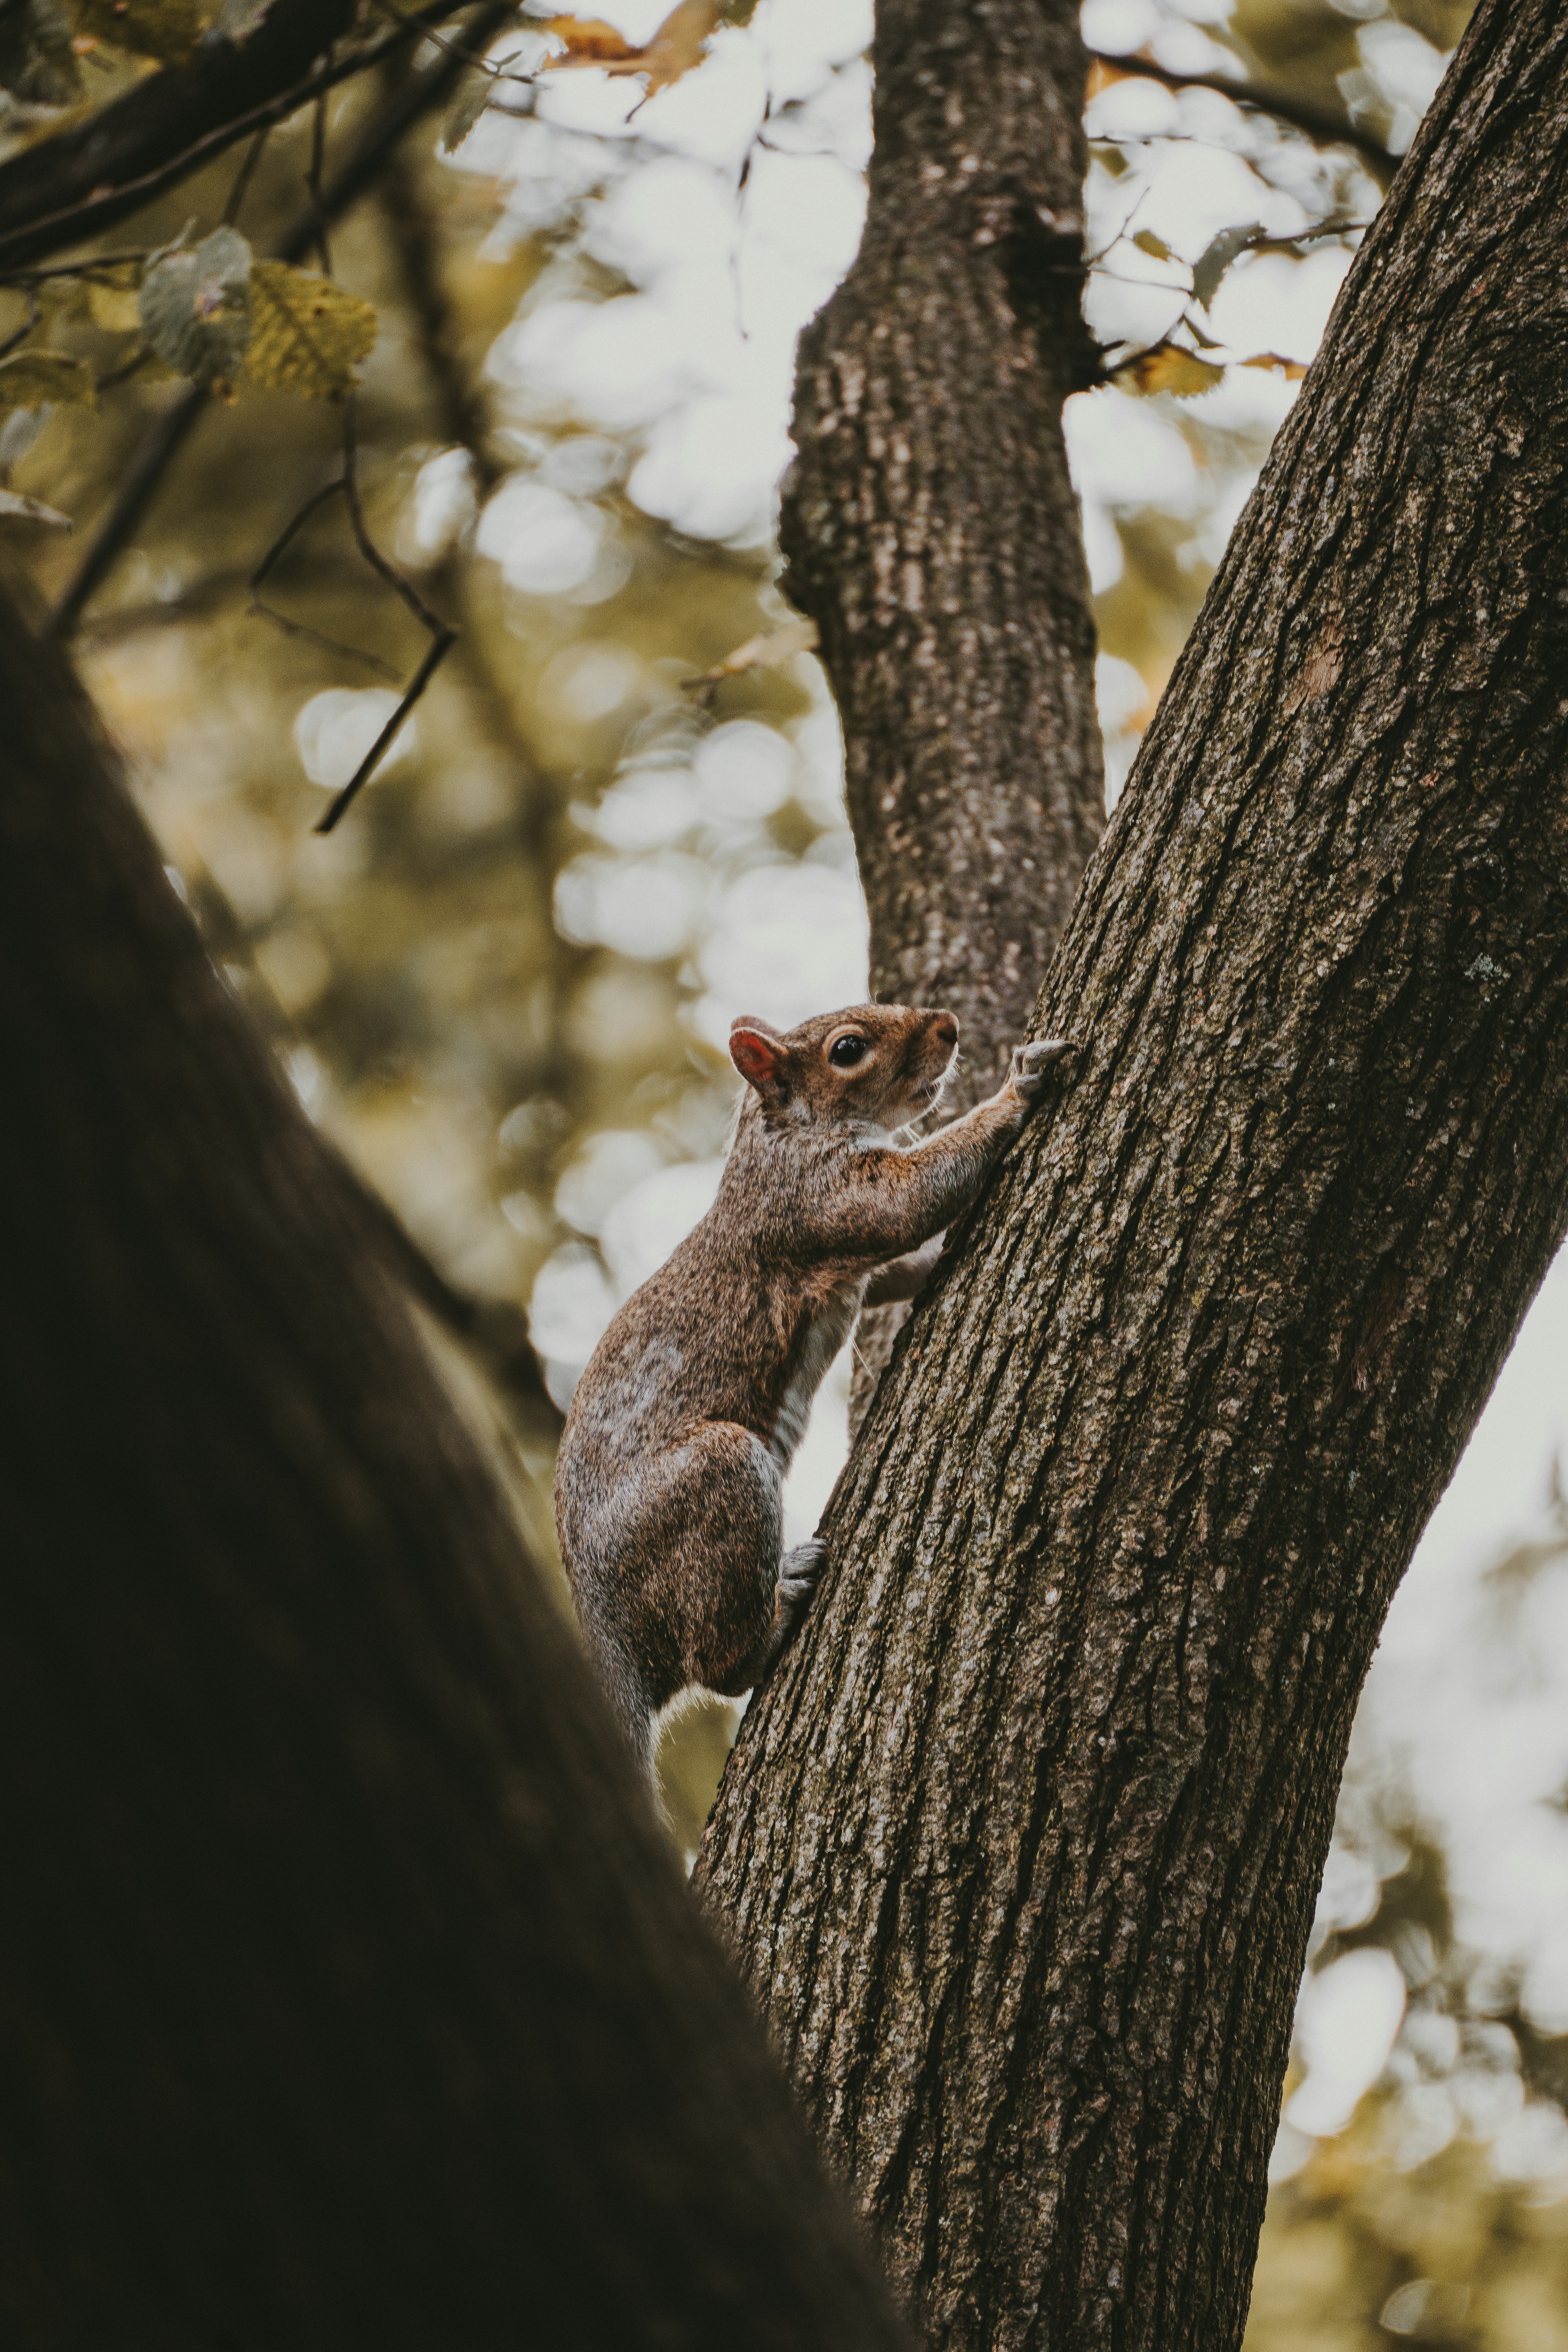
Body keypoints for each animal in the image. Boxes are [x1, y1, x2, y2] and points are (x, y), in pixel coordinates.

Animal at [552, 1003, 1072, 1772]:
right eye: (848, 1049)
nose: (947, 1026)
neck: (777, 1136)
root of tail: (598, 1619)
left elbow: (898, 1266)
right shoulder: (814, 1199)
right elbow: (910, 1199)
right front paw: (1017, 1087)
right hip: (716, 1476)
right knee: (717, 1664)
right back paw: (781, 1602)